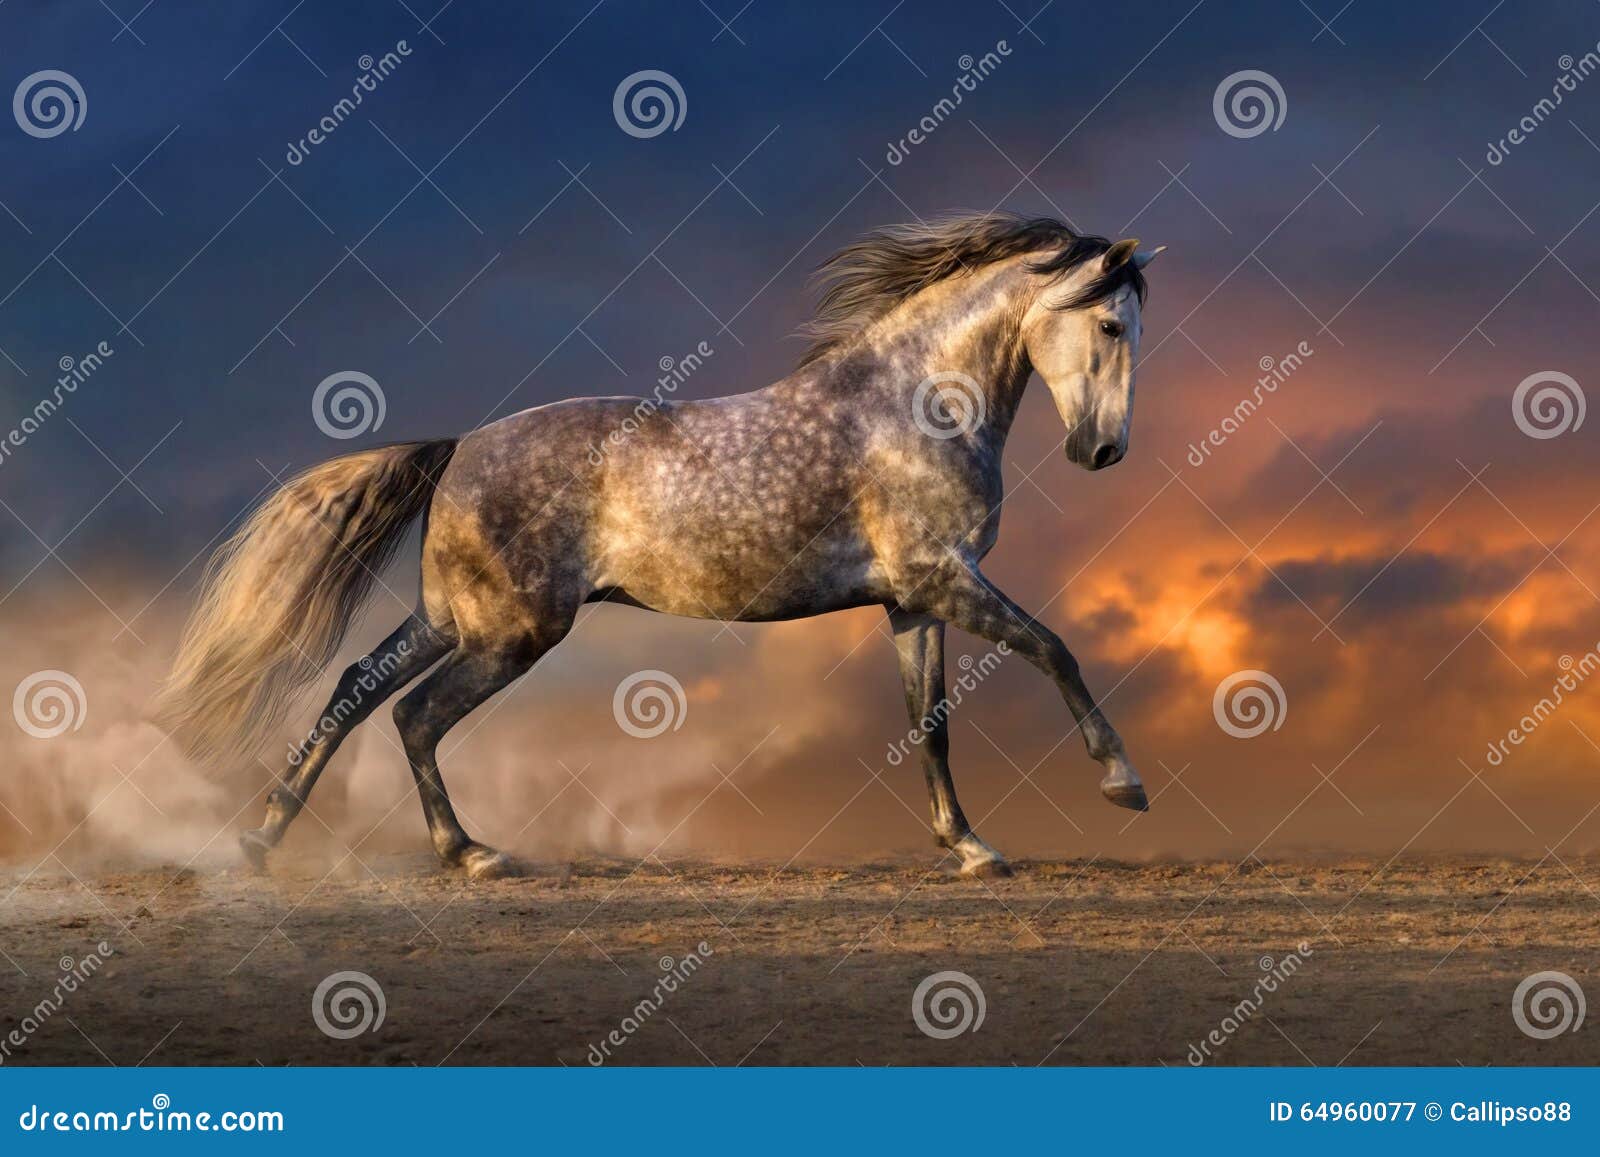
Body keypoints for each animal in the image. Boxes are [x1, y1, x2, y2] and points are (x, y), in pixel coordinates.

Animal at [154, 212, 1163, 879]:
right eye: (1111, 324)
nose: (1104, 451)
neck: (913, 406)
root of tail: (460, 447)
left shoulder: (913, 599)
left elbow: (932, 721)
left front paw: (971, 847)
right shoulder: (945, 579)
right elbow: (1054, 649)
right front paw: (1123, 784)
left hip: (454, 620)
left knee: (357, 688)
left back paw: (266, 836)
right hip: (511, 633)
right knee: (414, 715)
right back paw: (471, 855)